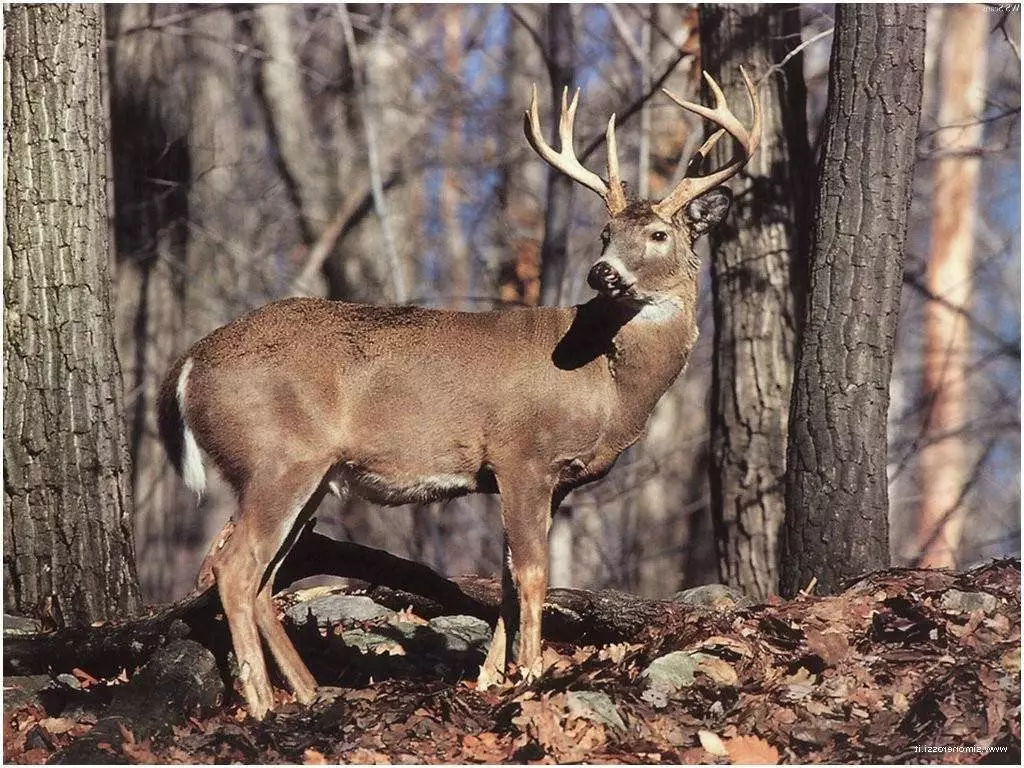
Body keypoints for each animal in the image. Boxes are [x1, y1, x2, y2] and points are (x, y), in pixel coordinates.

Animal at [153, 70, 761, 720]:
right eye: (604, 232)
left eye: (658, 233)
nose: (603, 273)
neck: (607, 382)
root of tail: (188, 363)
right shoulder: (522, 456)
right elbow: (533, 575)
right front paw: (530, 675)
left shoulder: (547, 479)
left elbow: (506, 579)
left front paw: (491, 678)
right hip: (275, 456)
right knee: (234, 566)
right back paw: (264, 704)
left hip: (309, 475)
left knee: (265, 577)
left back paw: (314, 692)